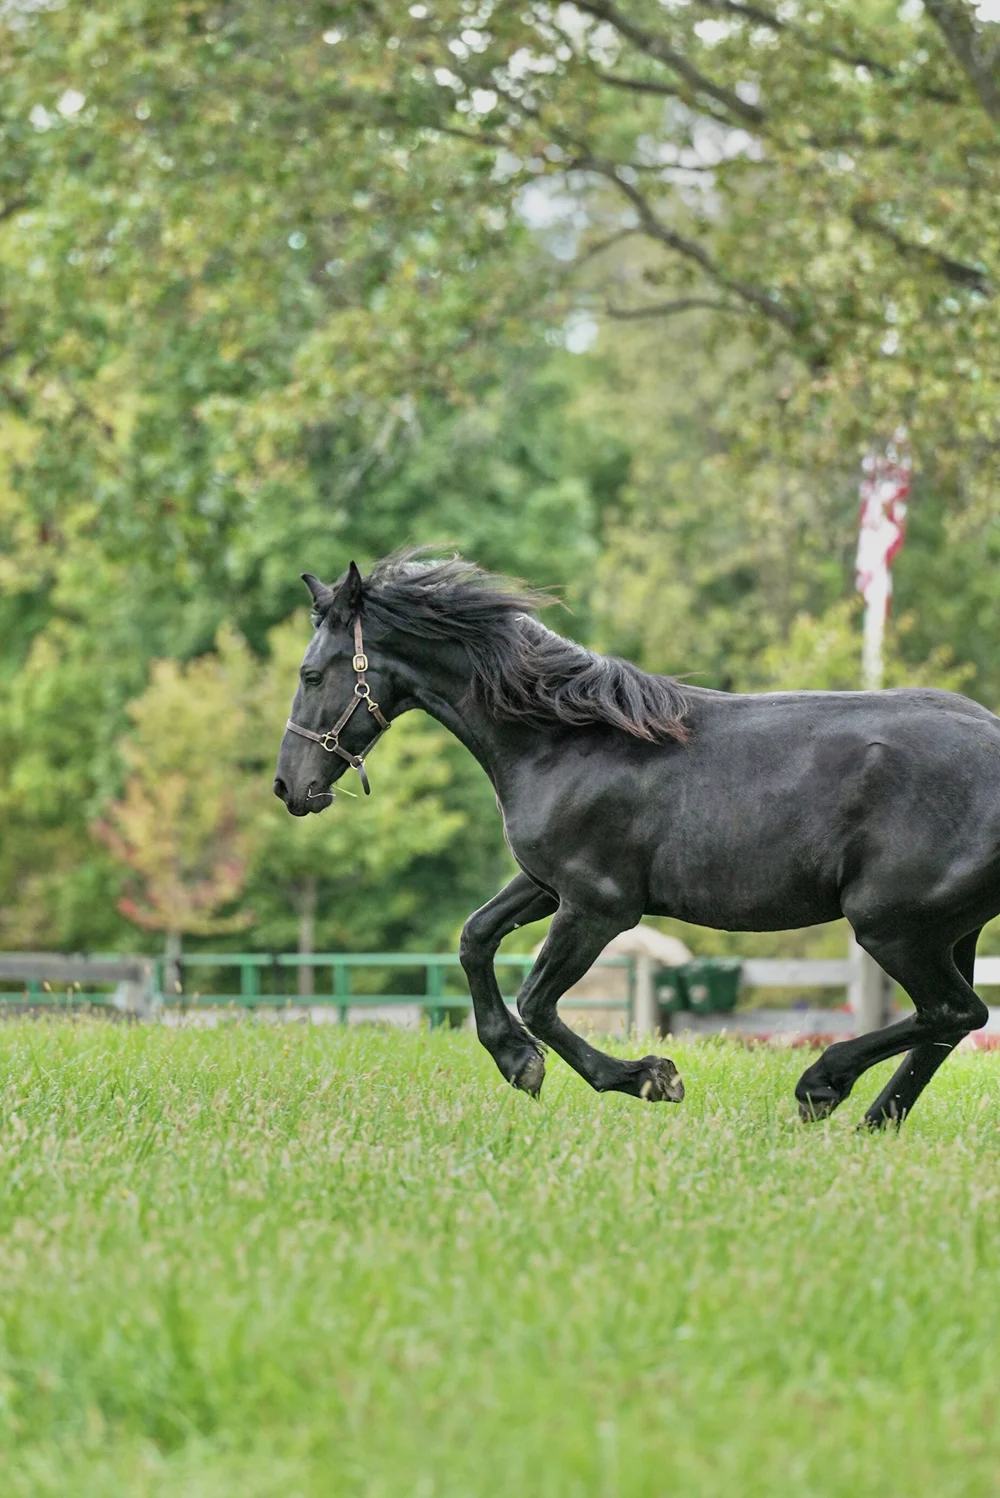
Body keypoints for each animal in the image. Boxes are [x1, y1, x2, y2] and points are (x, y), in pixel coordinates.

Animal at [273, 552, 998, 1128]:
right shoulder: (548, 885)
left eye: (311, 675)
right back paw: (873, 1117)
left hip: (890, 924)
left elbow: (537, 1000)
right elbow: (475, 938)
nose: (289, 787)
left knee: (954, 1012)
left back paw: (823, 1084)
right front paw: (515, 1059)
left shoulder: (600, 905)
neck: (564, 738)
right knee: (948, 1022)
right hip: (947, 930)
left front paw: (644, 1076)